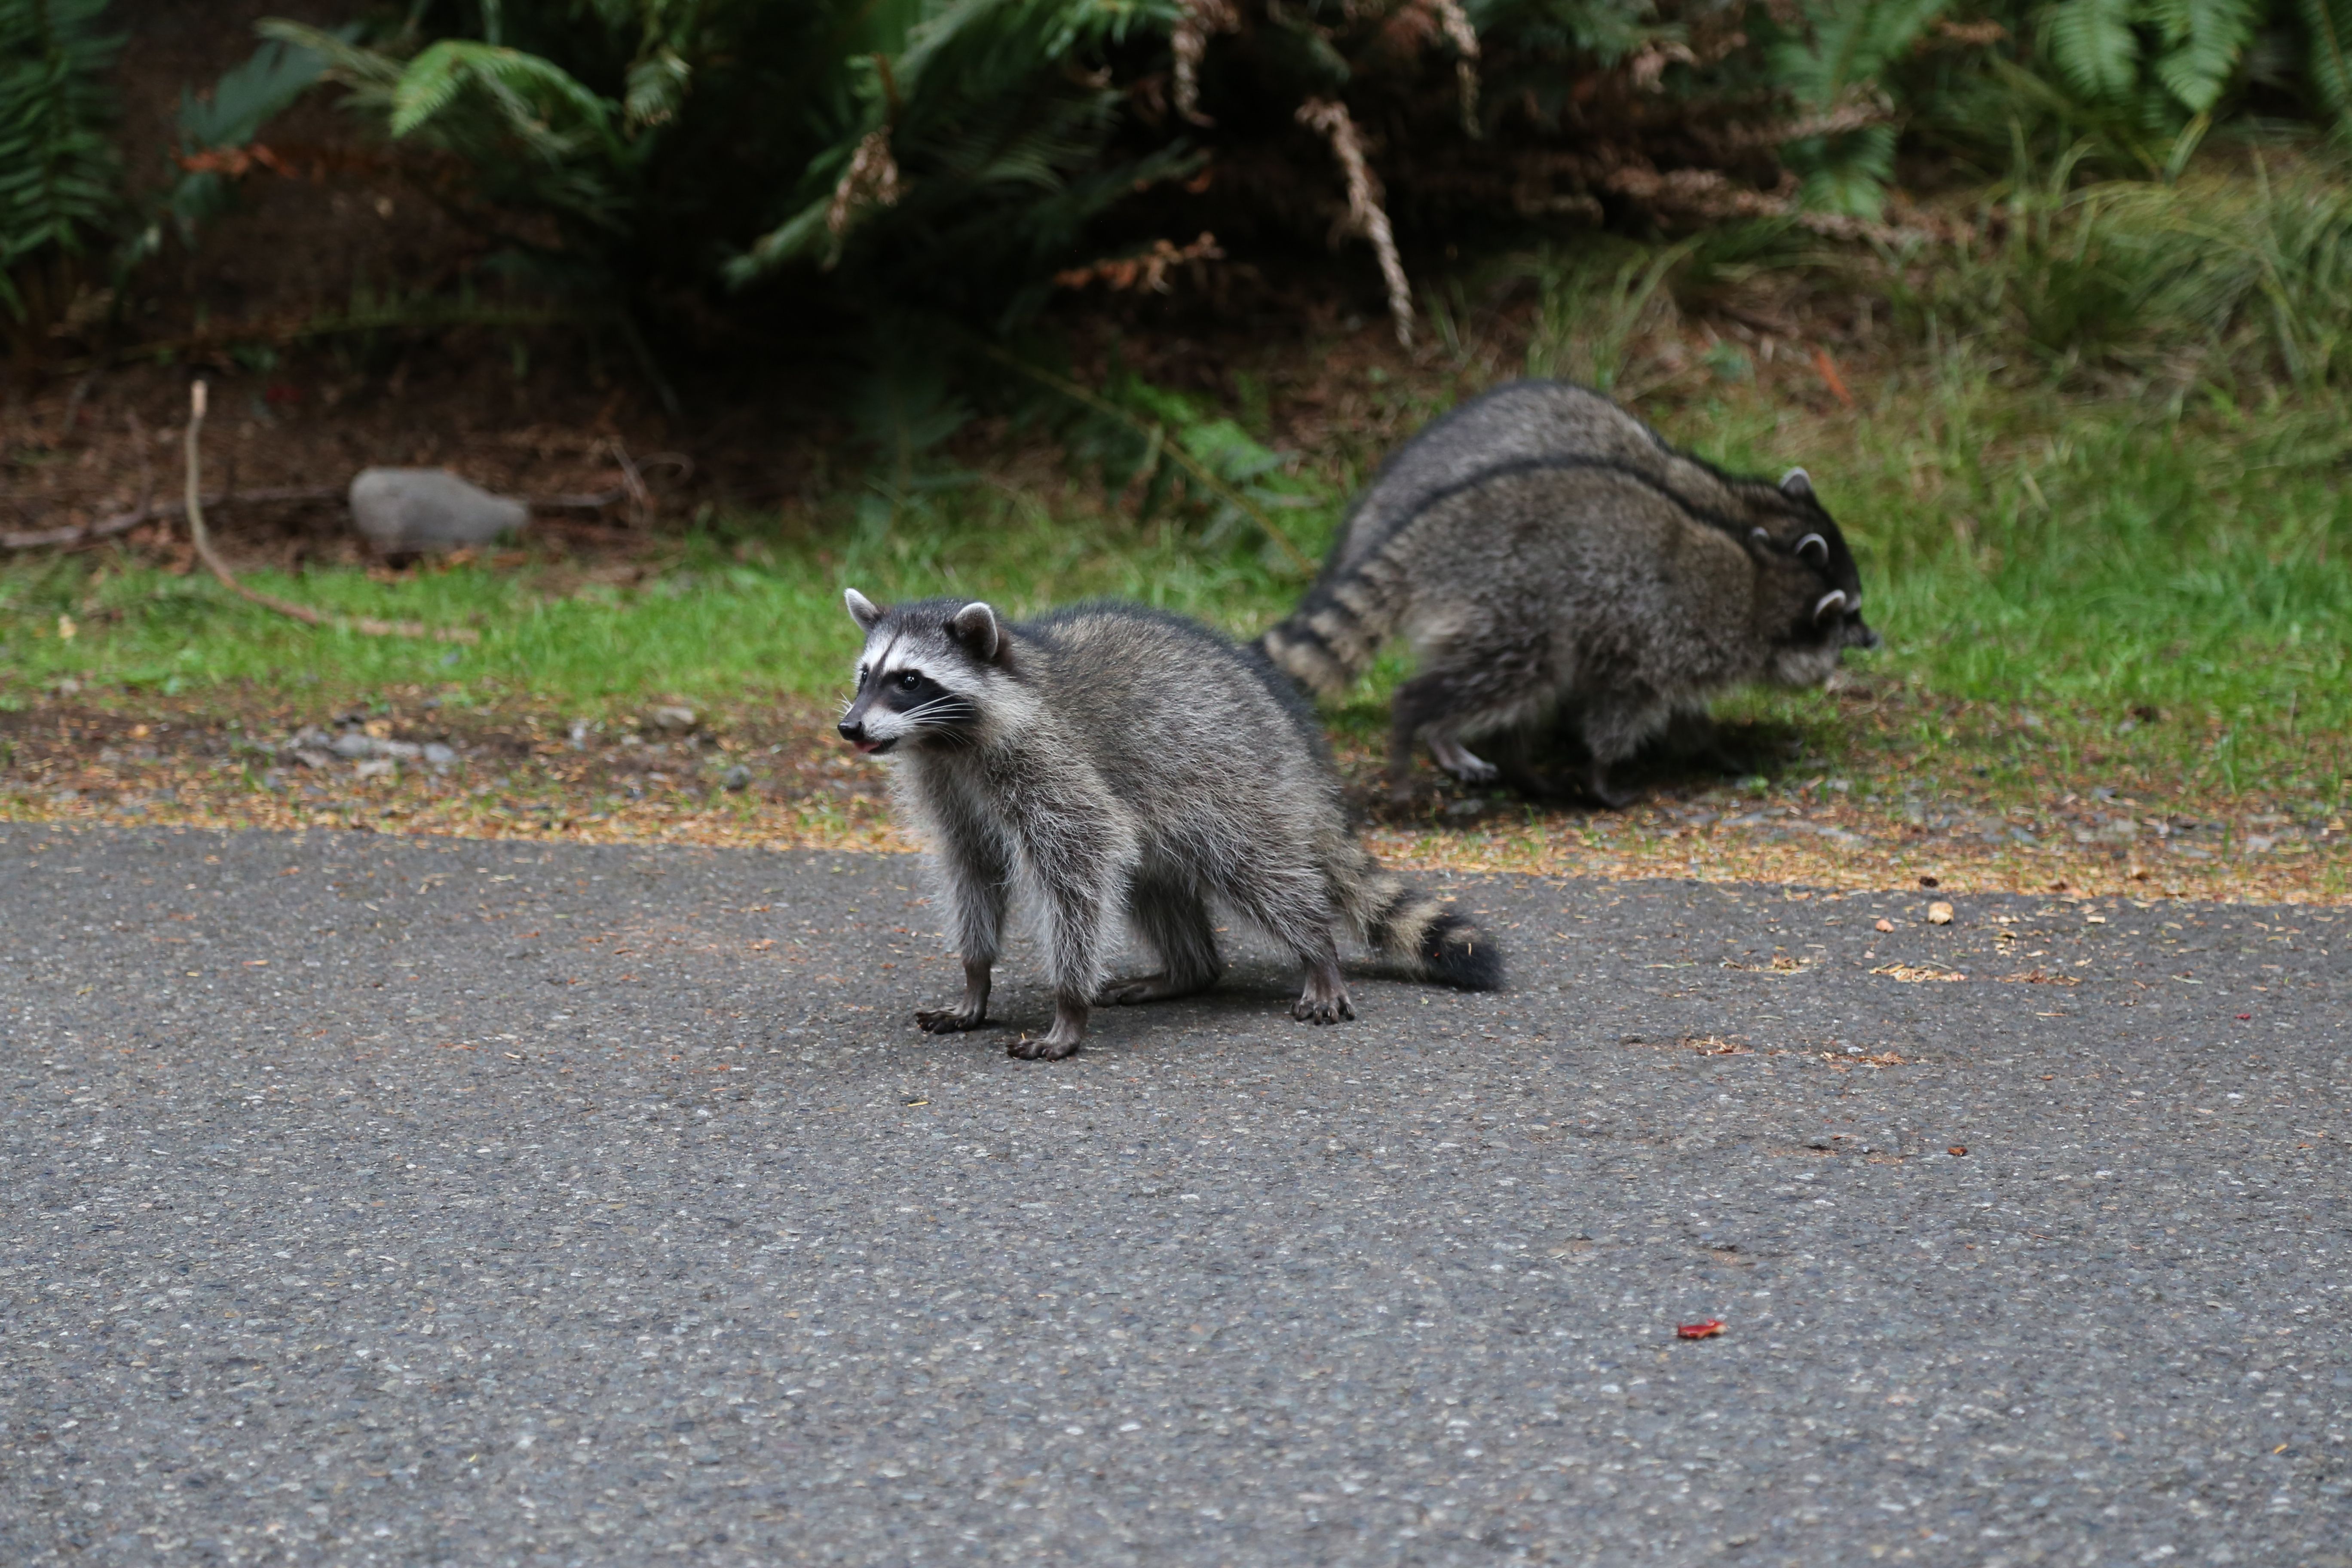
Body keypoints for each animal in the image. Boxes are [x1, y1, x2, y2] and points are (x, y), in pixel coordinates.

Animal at [836, 592, 1502, 1059]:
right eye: (865, 674)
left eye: (909, 680)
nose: (849, 727)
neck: (947, 739)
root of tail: (1297, 745)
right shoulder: (947, 785)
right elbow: (972, 867)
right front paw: (975, 978)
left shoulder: (1049, 760)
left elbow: (1080, 864)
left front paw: (1068, 1006)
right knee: (1153, 885)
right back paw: (1189, 970)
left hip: (1232, 783)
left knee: (1257, 871)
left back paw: (1316, 948)